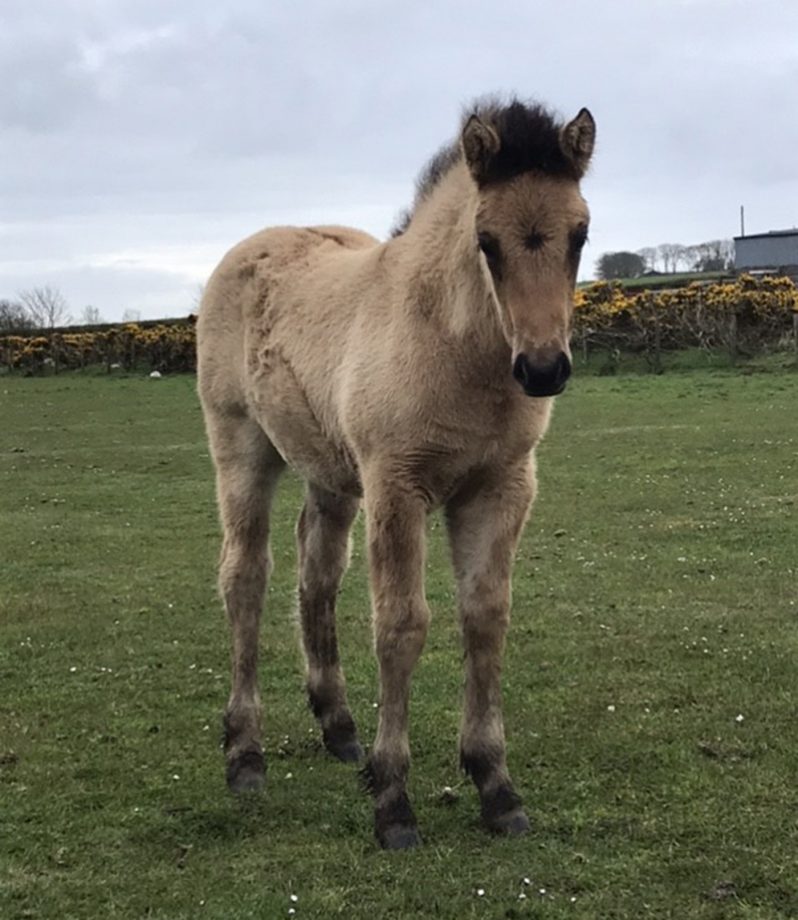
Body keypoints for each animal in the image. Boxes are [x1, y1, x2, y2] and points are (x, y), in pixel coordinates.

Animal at [196, 97, 595, 849]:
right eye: (487, 241)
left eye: (580, 235)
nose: (542, 369)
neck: (453, 347)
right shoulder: (396, 487)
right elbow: (401, 627)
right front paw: (393, 802)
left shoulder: (502, 486)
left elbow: (486, 617)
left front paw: (496, 786)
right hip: (240, 447)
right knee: (246, 577)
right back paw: (244, 754)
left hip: (329, 472)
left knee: (317, 573)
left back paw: (338, 727)